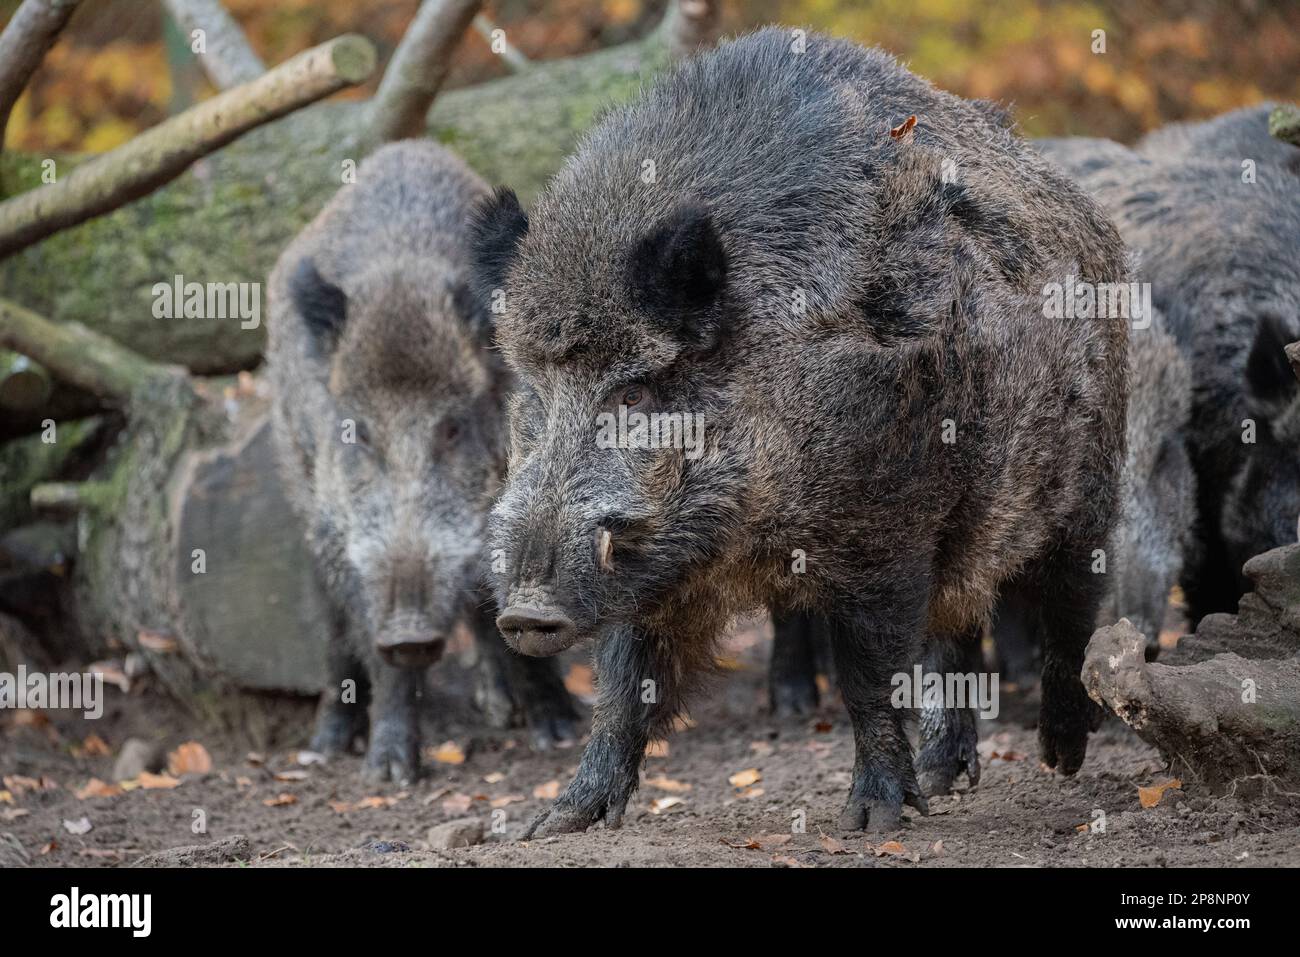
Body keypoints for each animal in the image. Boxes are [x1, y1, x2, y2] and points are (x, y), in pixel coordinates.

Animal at [267, 141, 575, 784]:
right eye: (358, 432)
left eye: (453, 426)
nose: (410, 631)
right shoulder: (347, 538)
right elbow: (373, 647)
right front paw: (388, 774)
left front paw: (559, 734)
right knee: (333, 628)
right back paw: (328, 744)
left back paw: (504, 712)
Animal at [471, 29, 1130, 833]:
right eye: (534, 387)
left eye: (634, 390)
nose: (525, 610)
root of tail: (1090, 217)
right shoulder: (651, 571)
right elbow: (625, 686)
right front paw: (563, 821)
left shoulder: (891, 524)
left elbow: (868, 674)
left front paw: (874, 820)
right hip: (973, 522)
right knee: (958, 626)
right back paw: (944, 779)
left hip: (1088, 478)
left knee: (1072, 602)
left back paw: (1060, 758)